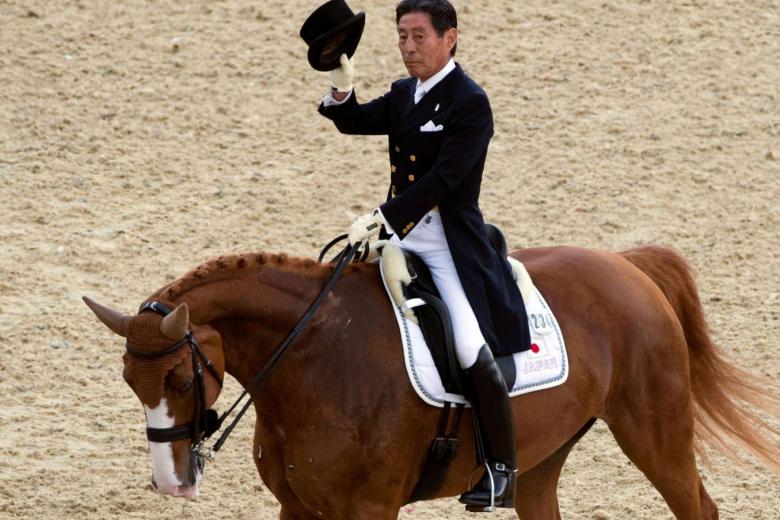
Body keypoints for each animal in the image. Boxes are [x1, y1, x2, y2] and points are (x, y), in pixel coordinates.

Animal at [84, 244, 779, 519]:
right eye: (129, 381)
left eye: (179, 376)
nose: (171, 483)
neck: (315, 360)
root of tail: (626, 264)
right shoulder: (296, 506)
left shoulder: (369, 509)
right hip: (541, 459)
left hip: (654, 432)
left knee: (698, 506)